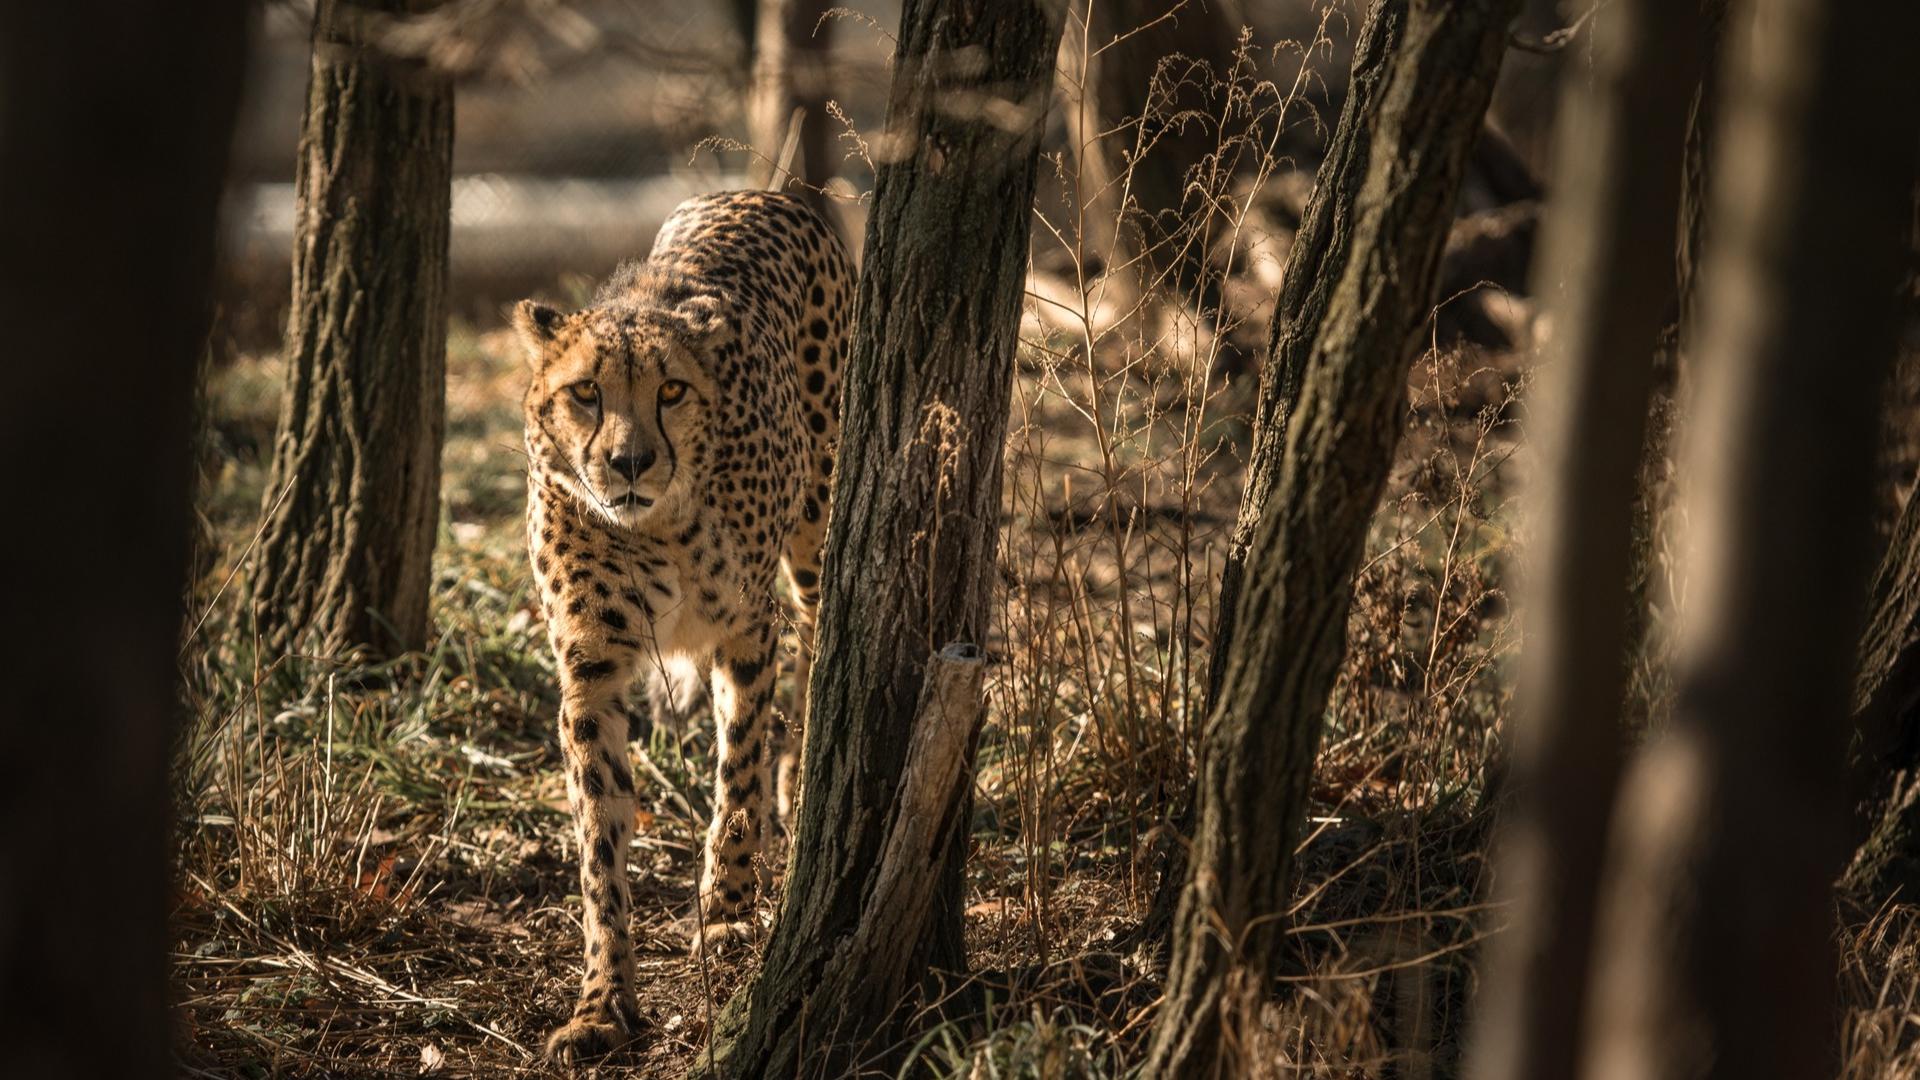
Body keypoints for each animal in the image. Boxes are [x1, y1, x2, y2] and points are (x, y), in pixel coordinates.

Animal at [511, 189, 850, 1063]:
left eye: (670, 391)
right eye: (586, 392)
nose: (630, 463)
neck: (649, 528)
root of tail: (760, 192)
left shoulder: (745, 632)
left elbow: (735, 774)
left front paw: (727, 910)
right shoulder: (591, 674)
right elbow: (600, 851)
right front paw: (602, 1003)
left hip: (816, 527)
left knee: (815, 650)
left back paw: (799, 782)